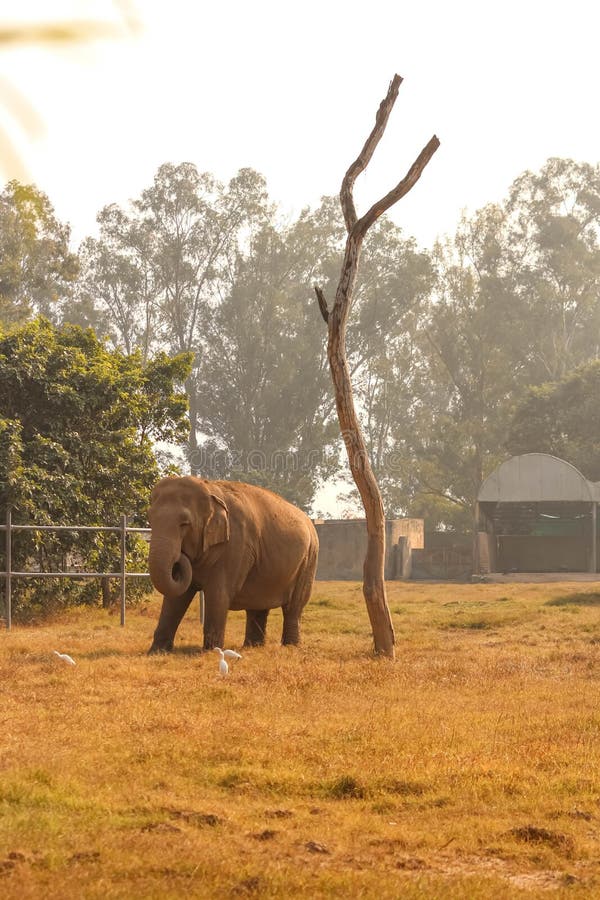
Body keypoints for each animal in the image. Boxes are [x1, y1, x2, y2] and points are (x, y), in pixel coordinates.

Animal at [147, 476, 318, 653]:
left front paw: (212, 651)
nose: (180, 556)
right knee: (258, 606)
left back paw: (290, 646)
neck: (211, 489)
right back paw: (253, 646)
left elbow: (218, 594)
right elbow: (176, 597)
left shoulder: (236, 545)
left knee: (294, 607)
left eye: (184, 524)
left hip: (309, 559)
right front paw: (157, 651)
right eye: (150, 520)